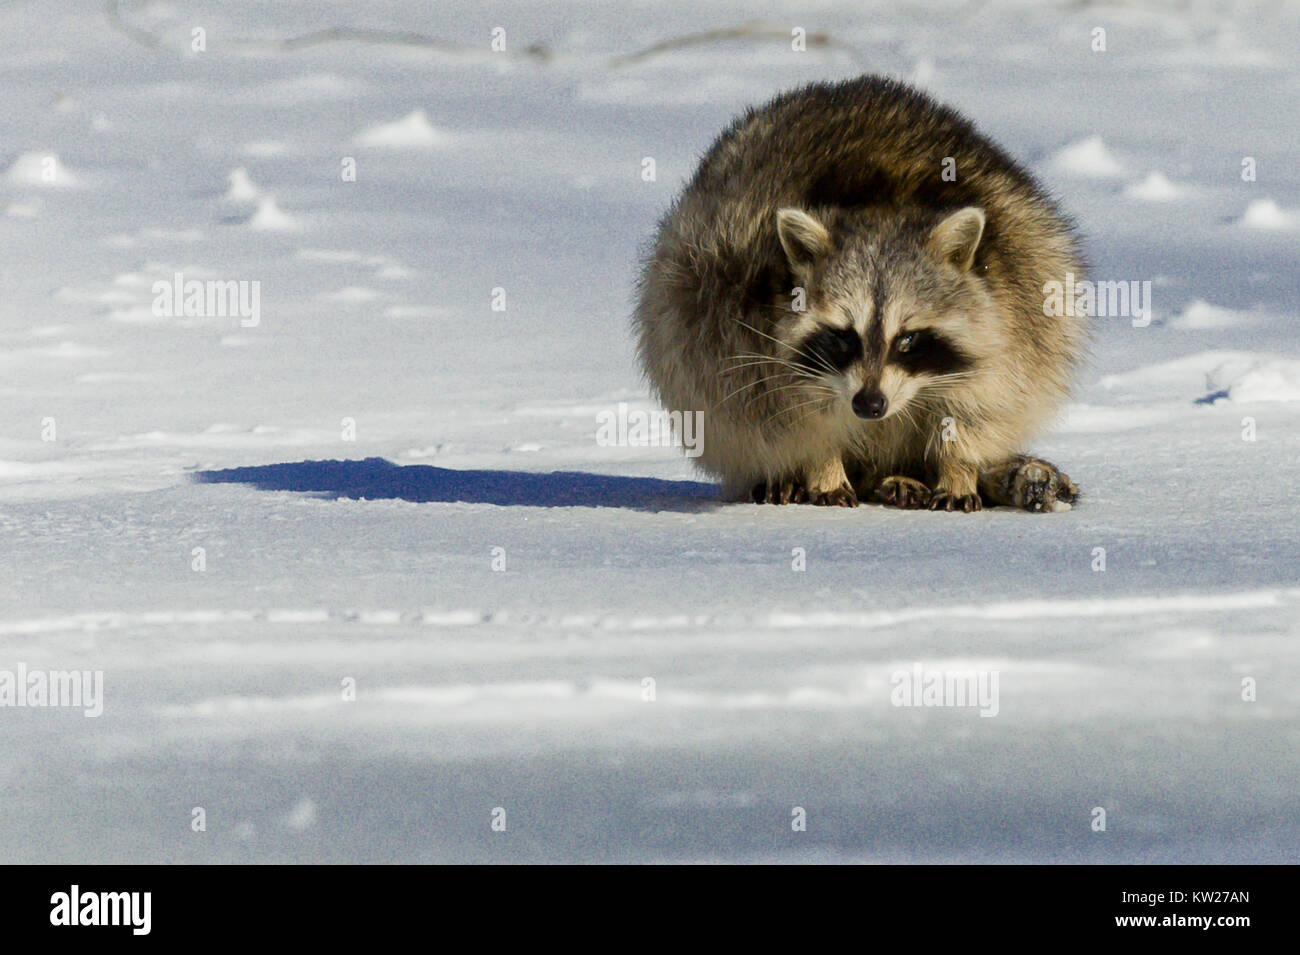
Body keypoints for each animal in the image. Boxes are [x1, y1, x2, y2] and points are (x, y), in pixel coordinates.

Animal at [633, 75, 1087, 512]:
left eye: (908, 338)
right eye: (841, 336)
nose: (869, 405)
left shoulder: (1013, 315)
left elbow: (978, 408)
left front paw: (957, 468)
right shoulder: (742, 341)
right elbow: (790, 421)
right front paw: (822, 468)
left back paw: (909, 475)